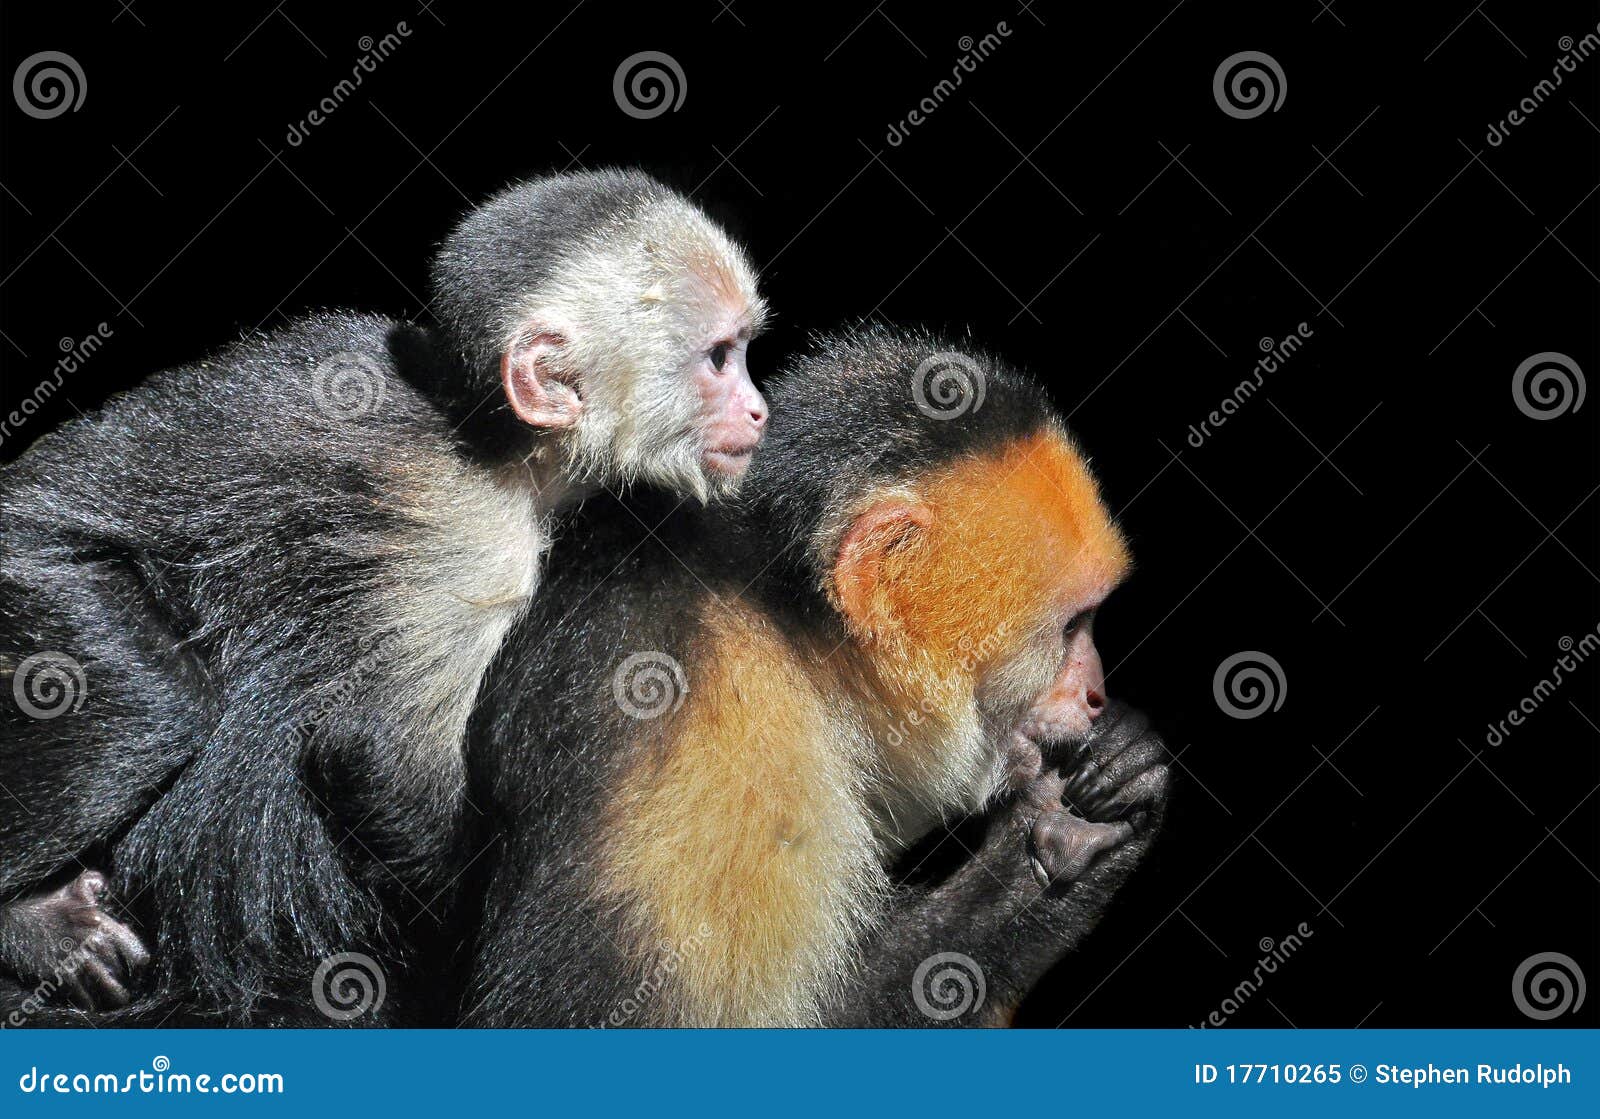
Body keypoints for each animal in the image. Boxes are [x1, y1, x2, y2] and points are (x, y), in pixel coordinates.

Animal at [0, 168, 768, 1024]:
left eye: (743, 353)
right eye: (719, 359)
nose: (758, 408)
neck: (486, 435)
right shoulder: (480, 537)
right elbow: (373, 754)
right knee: (163, 699)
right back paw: (28, 926)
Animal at [456, 326, 1171, 1027]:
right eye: (1072, 629)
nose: (1095, 693)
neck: (785, 627)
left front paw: (1086, 819)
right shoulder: (725, 744)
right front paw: (1048, 846)